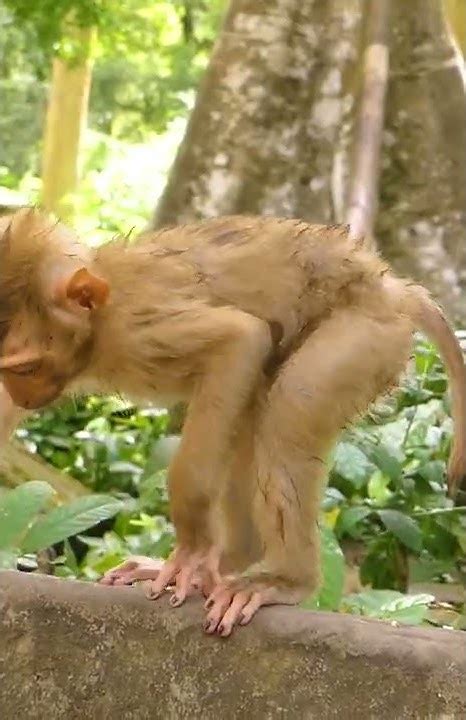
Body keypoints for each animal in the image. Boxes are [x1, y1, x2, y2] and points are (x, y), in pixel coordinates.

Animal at [0, 207, 465, 637]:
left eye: (25, 367)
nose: (23, 395)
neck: (99, 326)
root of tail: (391, 288)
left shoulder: (136, 331)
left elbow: (238, 339)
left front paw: (190, 550)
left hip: (366, 335)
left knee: (292, 404)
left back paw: (284, 580)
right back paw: (232, 559)